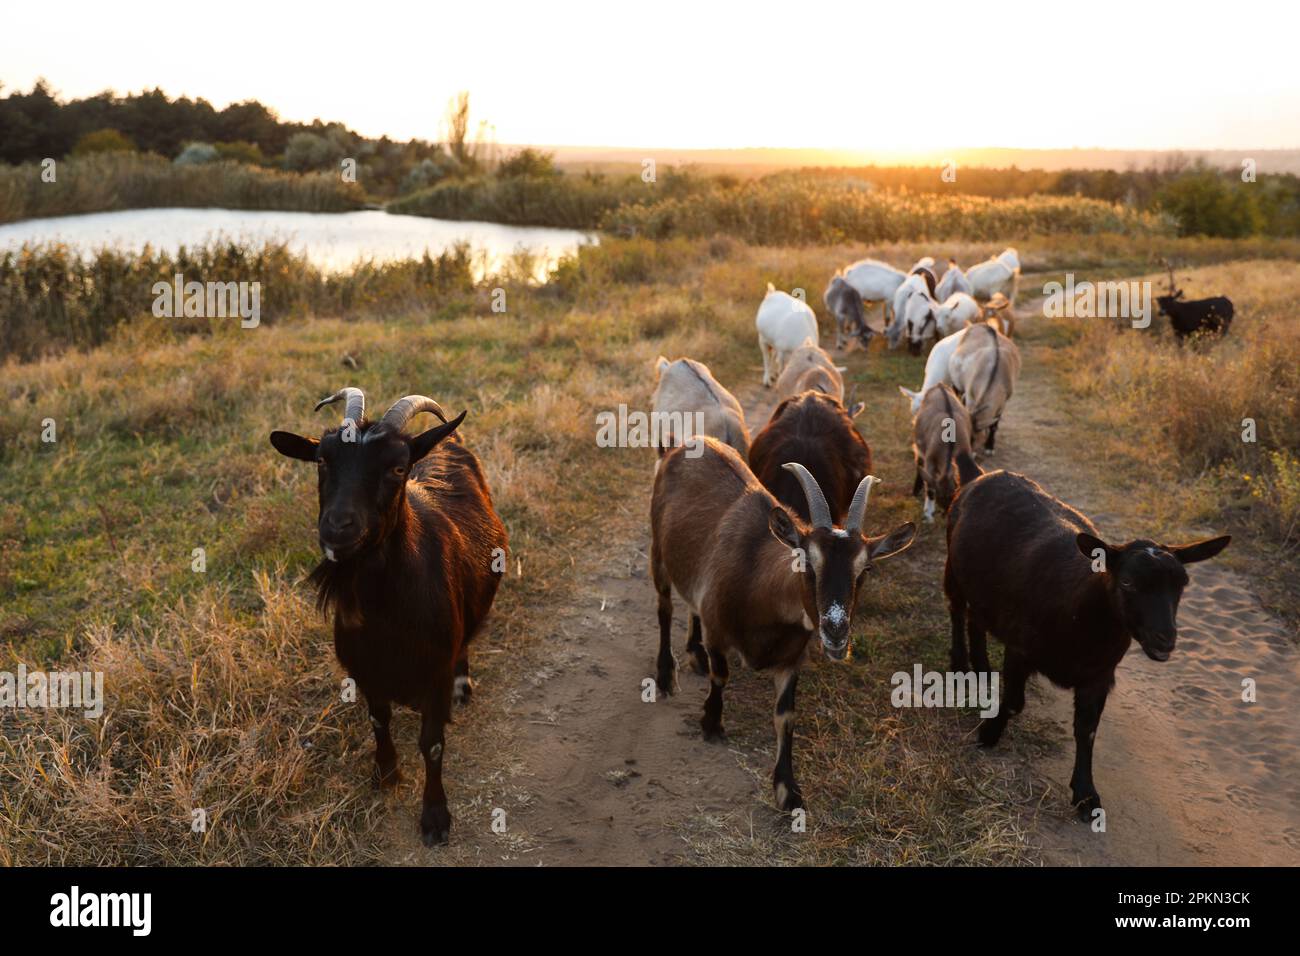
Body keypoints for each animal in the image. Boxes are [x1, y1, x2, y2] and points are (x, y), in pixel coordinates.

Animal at [270, 387, 507, 846]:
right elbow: (378, 721)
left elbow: (432, 743)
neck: (386, 611)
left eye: (398, 467)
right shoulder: (364, 668)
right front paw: (386, 774)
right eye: (322, 460)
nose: (338, 527)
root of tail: (443, 441)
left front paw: (435, 817)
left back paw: (463, 686)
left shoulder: (434, 671)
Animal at [651, 439, 915, 809]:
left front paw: (787, 788)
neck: (756, 585)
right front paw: (711, 724)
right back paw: (664, 675)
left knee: (689, 604)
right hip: (658, 552)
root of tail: (682, 445)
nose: (835, 631)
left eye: (865, 569)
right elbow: (721, 676)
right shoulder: (718, 630)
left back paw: (694, 654)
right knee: (664, 608)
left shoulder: (792, 657)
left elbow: (785, 715)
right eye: (804, 561)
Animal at [909, 383, 975, 522]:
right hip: (919, 447)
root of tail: (940, 385)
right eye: (939, 499)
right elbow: (929, 486)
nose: (946, 514)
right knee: (919, 463)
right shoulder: (929, 459)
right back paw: (915, 491)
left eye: (953, 497)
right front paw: (928, 515)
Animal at [945, 468, 1230, 817]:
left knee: (976, 617)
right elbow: (1014, 702)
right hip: (952, 566)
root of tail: (984, 474)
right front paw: (988, 733)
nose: (1165, 639)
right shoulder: (1019, 651)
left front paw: (1085, 793)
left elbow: (1087, 730)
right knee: (958, 610)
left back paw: (982, 669)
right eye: (1127, 582)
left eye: (1183, 583)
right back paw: (961, 664)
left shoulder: (1099, 676)